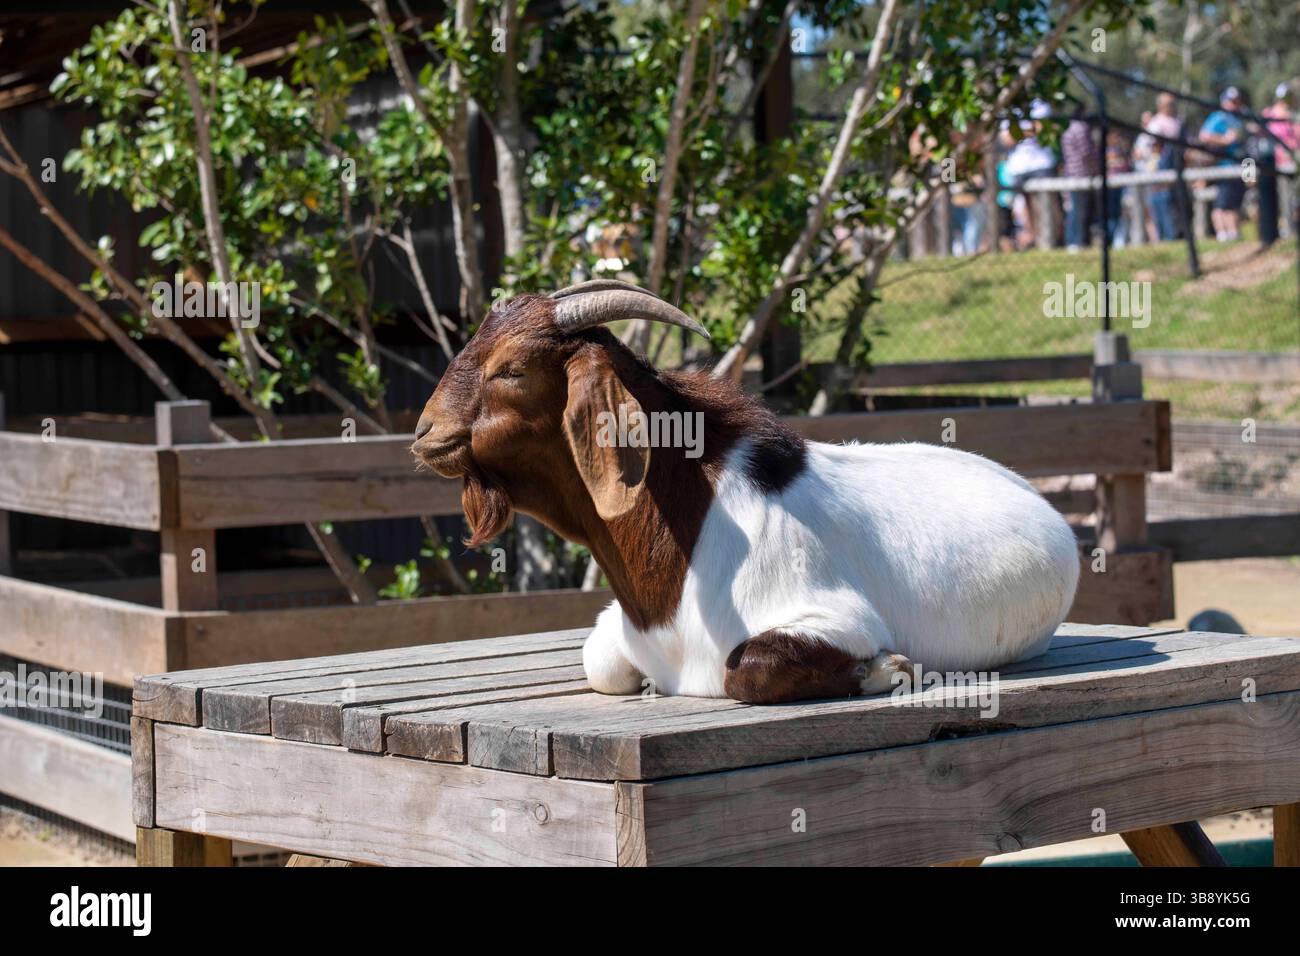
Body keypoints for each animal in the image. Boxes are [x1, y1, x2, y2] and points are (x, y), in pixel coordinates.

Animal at [412, 281, 1079, 704]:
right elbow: (599, 661)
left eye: (512, 370)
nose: (423, 432)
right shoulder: (616, 630)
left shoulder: (836, 616)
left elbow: (747, 670)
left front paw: (883, 669)